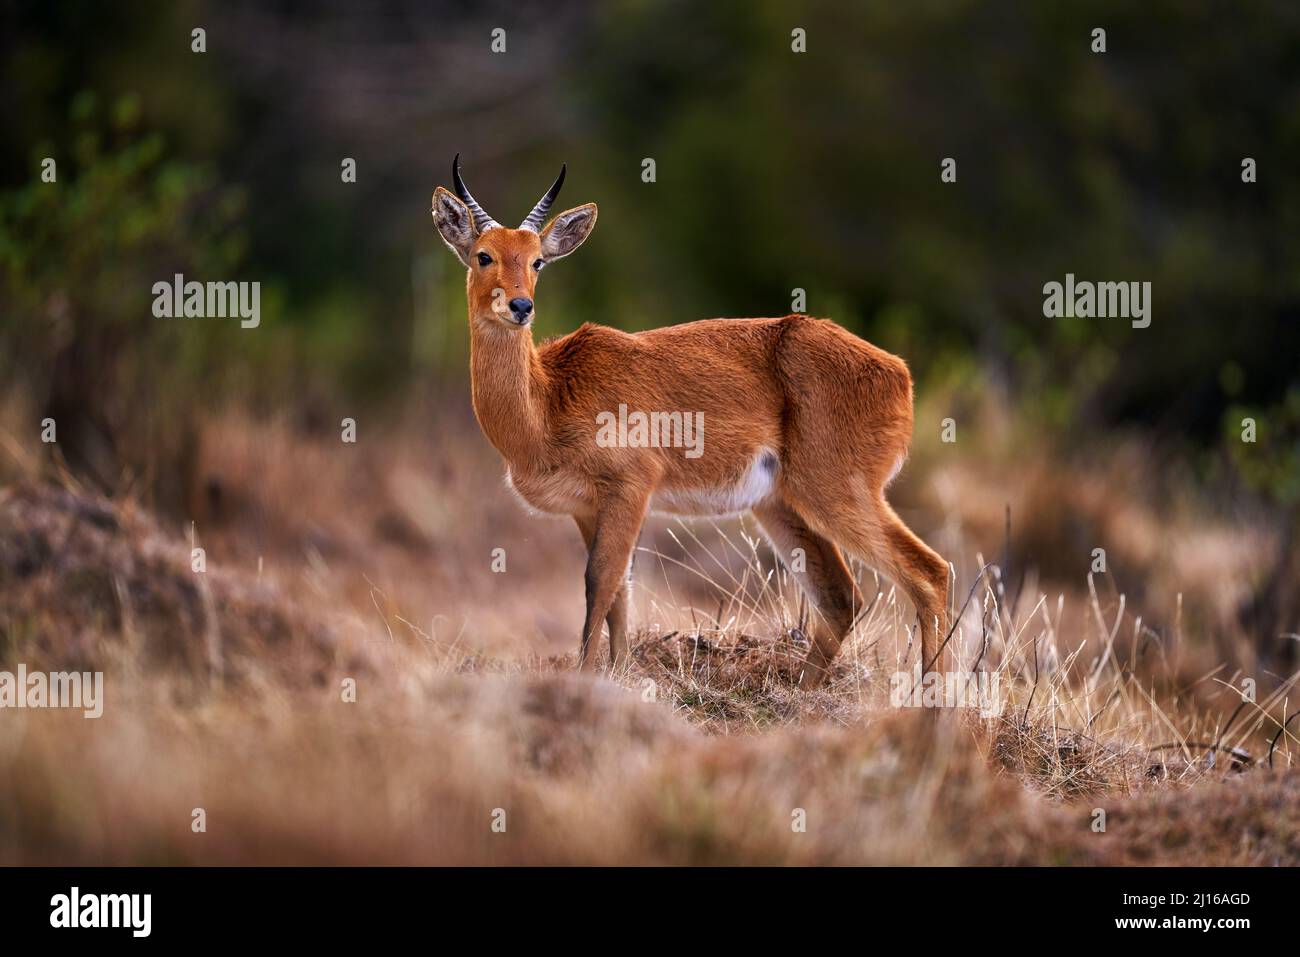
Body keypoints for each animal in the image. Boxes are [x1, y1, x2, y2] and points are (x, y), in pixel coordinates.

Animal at [431, 156, 950, 687]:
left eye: (537, 260)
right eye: (484, 255)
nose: (520, 306)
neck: (547, 401)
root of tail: (900, 372)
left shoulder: (629, 489)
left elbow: (599, 584)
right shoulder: (587, 508)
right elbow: (619, 595)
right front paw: (619, 675)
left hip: (837, 491)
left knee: (929, 572)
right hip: (780, 505)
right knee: (843, 596)